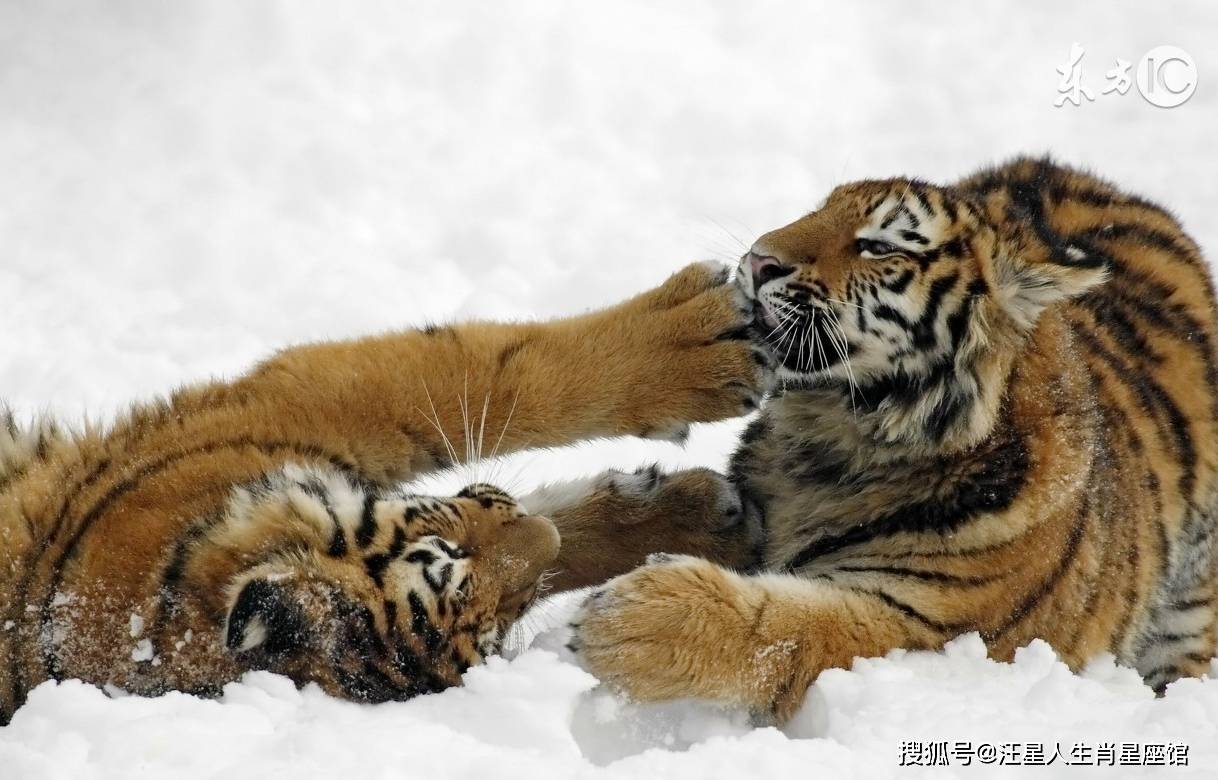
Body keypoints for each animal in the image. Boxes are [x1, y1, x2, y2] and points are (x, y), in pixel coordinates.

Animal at [0, 263, 772, 724]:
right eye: (492, 630)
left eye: (443, 542)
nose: (538, 542)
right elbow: (476, 367)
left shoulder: (291, 406)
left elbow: (478, 372)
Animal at [537, 157, 1218, 722]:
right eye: (817, 211)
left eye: (877, 246)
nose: (757, 260)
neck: (833, 436)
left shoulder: (936, 625)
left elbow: (790, 630)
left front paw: (623, 622)